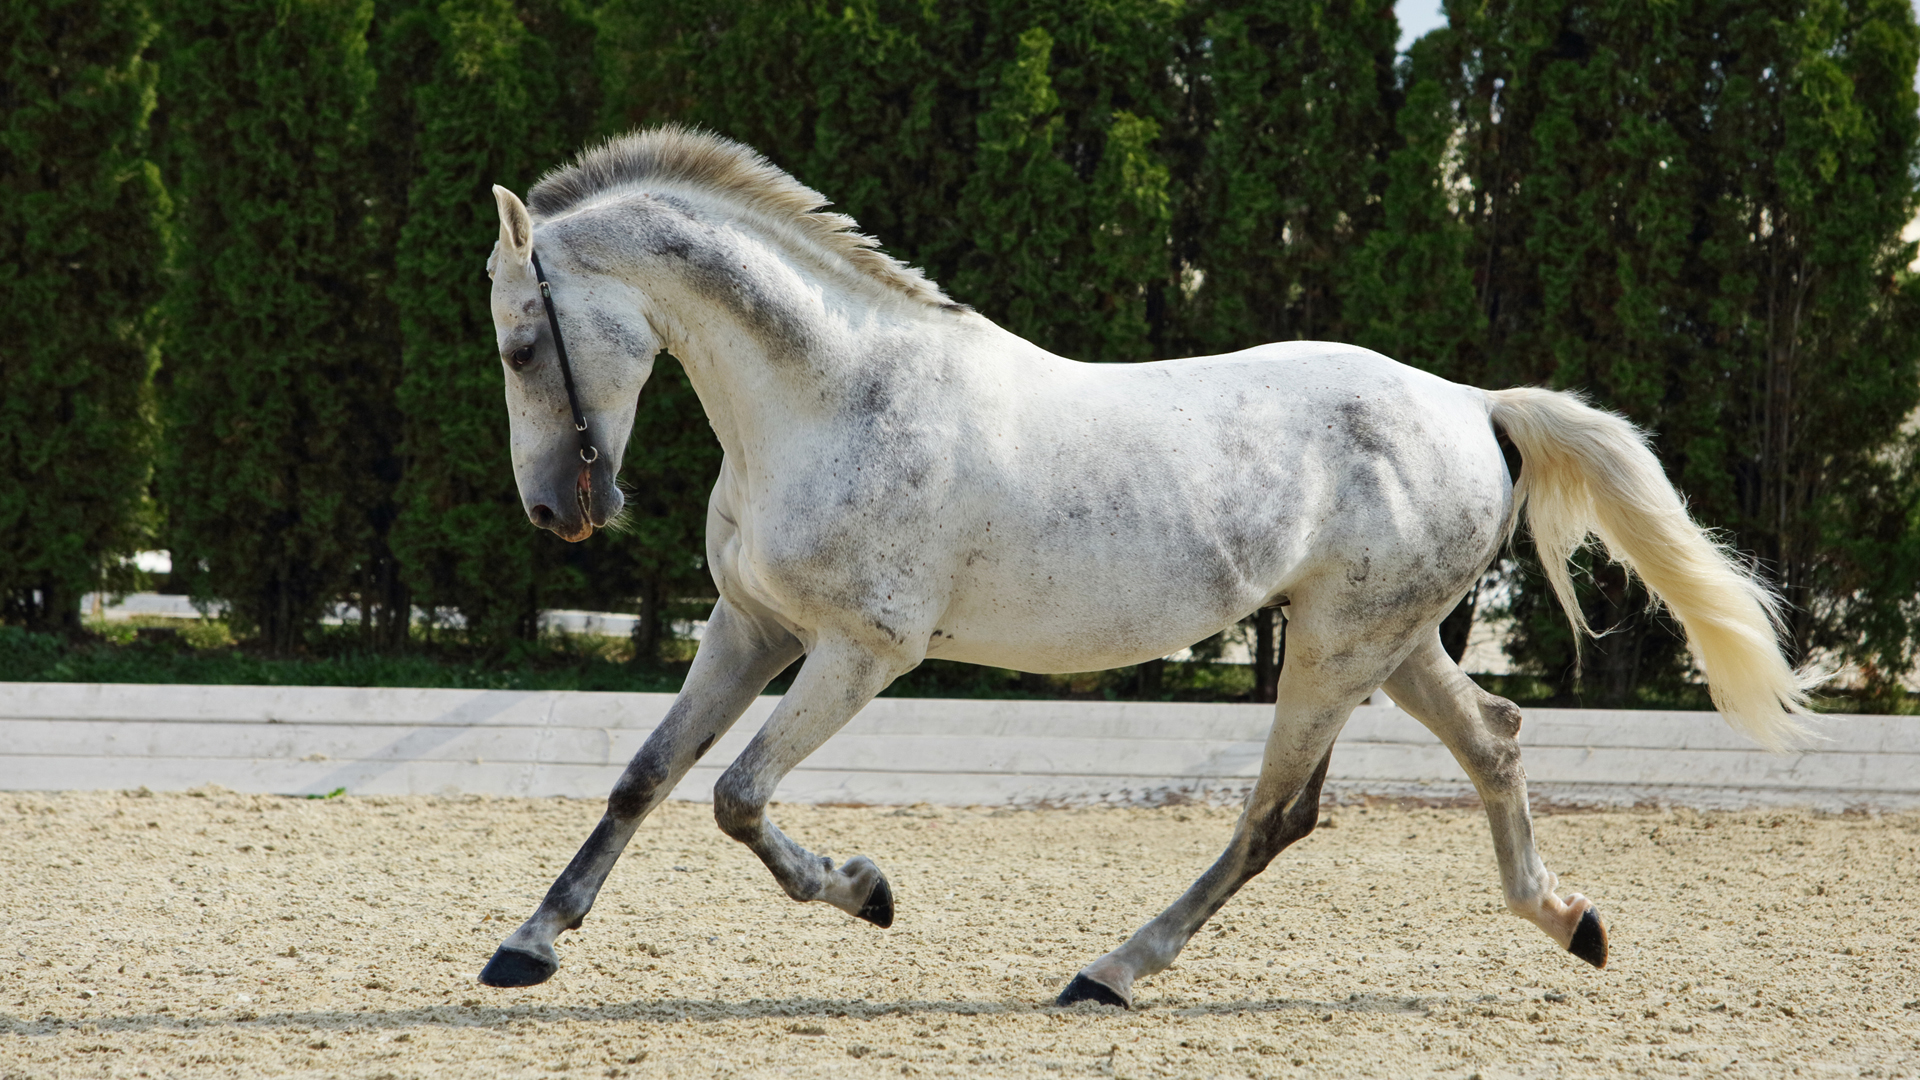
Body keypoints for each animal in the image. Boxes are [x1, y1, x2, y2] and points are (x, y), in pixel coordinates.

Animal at [475, 125, 1814, 1008]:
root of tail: (1476, 407)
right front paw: (527, 947)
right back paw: (1571, 922)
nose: (552, 512)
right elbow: (645, 779)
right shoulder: (747, 629)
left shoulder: (861, 652)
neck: (832, 398)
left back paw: (1110, 972)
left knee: (1277, 814)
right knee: (1492, 739)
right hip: (1383, 643)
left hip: (1335, 650)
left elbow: (739, 796)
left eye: (522, 344)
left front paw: (868, 890)